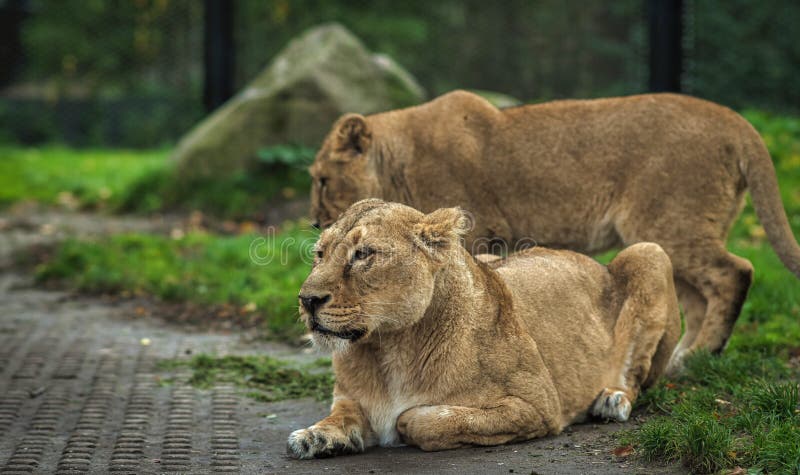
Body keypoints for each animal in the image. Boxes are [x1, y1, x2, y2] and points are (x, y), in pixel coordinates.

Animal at [286, 199, 680, 458]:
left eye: (363, 254)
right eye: (320, 254)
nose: (307, 299)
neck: (387, 350)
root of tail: (593, 262)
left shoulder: (537, 405)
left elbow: (423, 419)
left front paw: (401, 424)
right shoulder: (349, 398)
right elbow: (342, 414)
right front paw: (314, 436)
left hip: (649, 253)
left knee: (635, 374)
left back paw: (612, 400)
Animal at [308, 90, 800, 368]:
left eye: (322, 180)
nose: (313, 220)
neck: (397, 161)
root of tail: (738, 122)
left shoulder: (475, 232)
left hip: (671, 221)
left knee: (735, 272)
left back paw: (700, 356)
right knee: (700, 295)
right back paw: (684, 357)